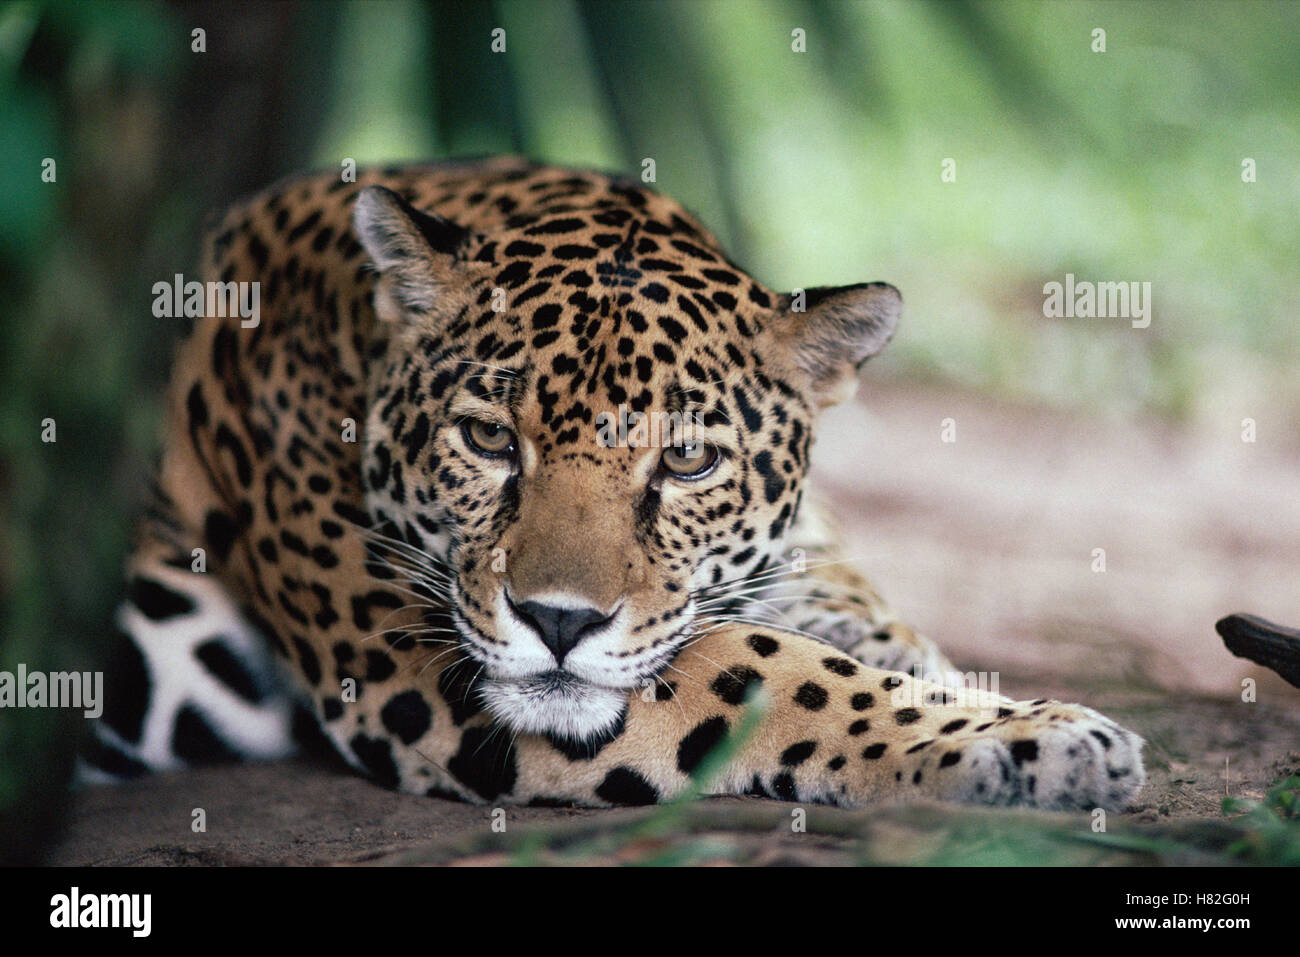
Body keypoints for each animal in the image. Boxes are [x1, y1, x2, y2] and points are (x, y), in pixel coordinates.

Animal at [80, 157, 1145, 811]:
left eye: (687, 460)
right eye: (486, 437)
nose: (557, 621)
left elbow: (832, 597)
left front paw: (933, 669)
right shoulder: (410, 660)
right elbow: (772, 671)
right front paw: (1028, 737)